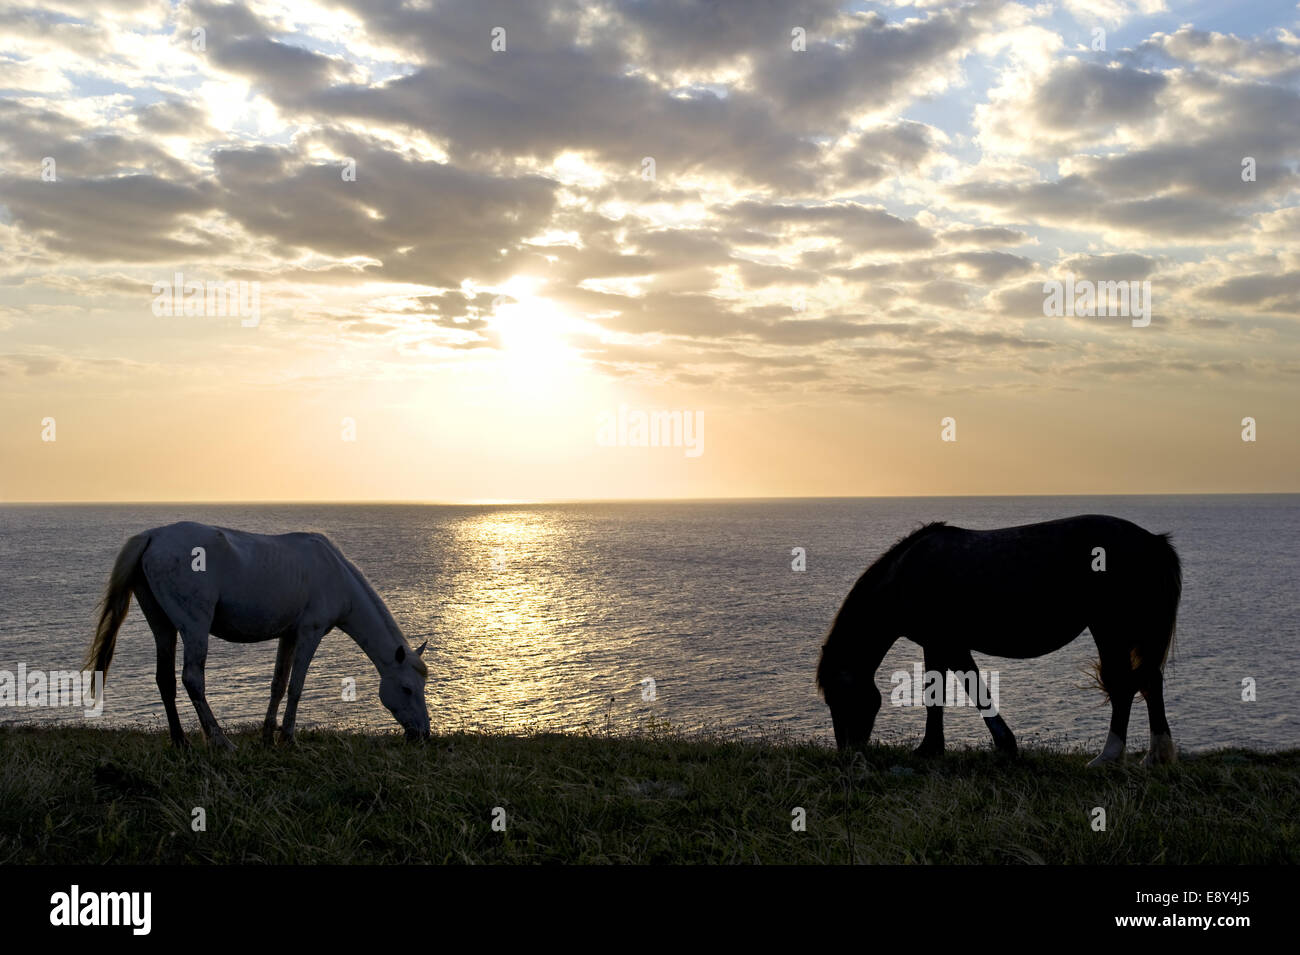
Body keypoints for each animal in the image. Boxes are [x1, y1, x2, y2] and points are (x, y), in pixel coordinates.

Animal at [84, 522, 431, 749]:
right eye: (407, 689)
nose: (423, 734)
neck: (336, 574)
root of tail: (152, 536)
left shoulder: (289, 635)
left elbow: (278, 685)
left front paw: (267, 736)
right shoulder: (310, 632)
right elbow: (296, 687)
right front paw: (288, 738)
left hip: (162, 625)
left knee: (165, 679)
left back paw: (180, 742)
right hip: (194, 627)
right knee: (192, 679)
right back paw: (221, 742)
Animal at [816, 515, 1180, 767]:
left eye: (838, 697)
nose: (847, 753)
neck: (903, 577)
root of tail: (1152, 541)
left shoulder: (949, 644)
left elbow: (970, 689)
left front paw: (1002, 746)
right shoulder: (936, 645)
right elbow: (937, 693)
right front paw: (932, 748)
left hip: (1110, 627)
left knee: (1125, 685)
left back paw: (1110, 756)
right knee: (1148, 682)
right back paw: (1155, 756)